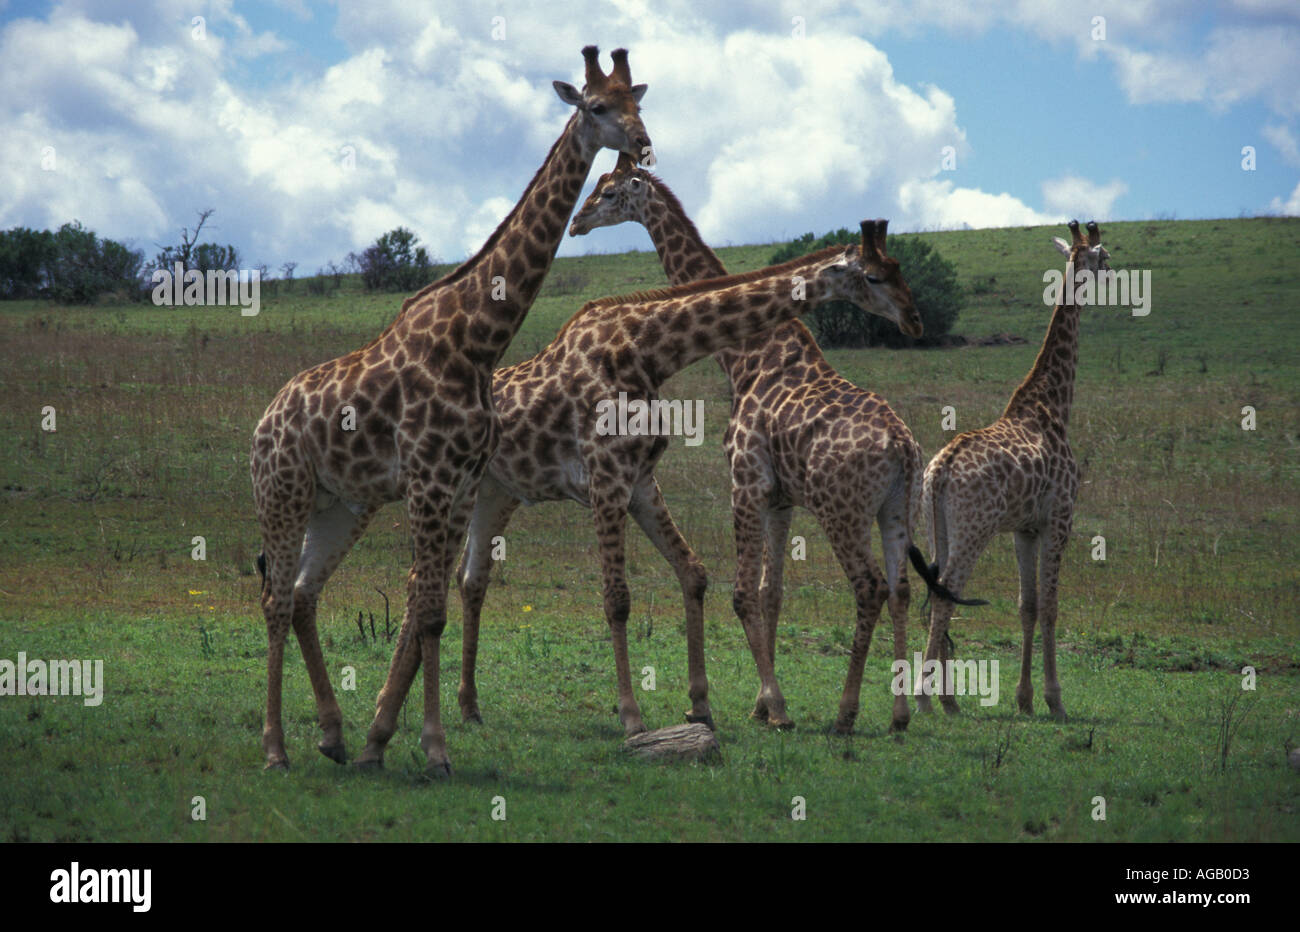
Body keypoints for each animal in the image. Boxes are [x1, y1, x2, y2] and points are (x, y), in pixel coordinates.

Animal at [250, 47, 653, 776]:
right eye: (597, 106)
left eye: (638, 102)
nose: (642, 144)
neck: (480, 340)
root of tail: (262, 423)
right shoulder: (431, 479)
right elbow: (428, 607)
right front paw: (431, 748)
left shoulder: (462, 484)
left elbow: (432, 609)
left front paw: (405, 741)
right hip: (282, 493)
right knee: (272, 598)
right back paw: (275, 749)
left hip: (340, 505)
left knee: (299, 595)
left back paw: (332, 734)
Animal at [456, 219, 923, 737]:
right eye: (874, 276)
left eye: (899, 268)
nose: (914, 320)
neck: (648, 350)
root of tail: (902, 444)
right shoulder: (610, 478)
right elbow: (620, 598)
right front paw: (633, 715)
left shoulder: (641, 482)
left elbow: (696, 574)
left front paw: (702, 704)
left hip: (496, 492)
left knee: (469, 579)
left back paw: (467, 706)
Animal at [568, 158, 975, 735]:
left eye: (606, 192)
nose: (577, 223)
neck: (745, 356)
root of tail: (903, 447)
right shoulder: (781, 499)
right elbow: (771, 593)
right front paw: (763, 704)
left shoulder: (745, 482)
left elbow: (743, 594)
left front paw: (774, 708)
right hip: (899, 507)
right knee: (899, 588)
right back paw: (898, 716)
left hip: (841, 510)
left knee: (869, 587)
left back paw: (846, 712)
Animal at [914, 220, 1111, 720]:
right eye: (1104, 256)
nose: (1112, 273)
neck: (1054, 406)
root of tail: (939, 470)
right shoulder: (1059, 518)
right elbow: (1052, 606)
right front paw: (1055, 700)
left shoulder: (1025, 528)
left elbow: (1027, 605)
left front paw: (1024, 698)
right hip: (975, 528)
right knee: (946, 592)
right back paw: (923, 698)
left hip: (935, 525)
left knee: (937, 590)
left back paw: (947, 699)